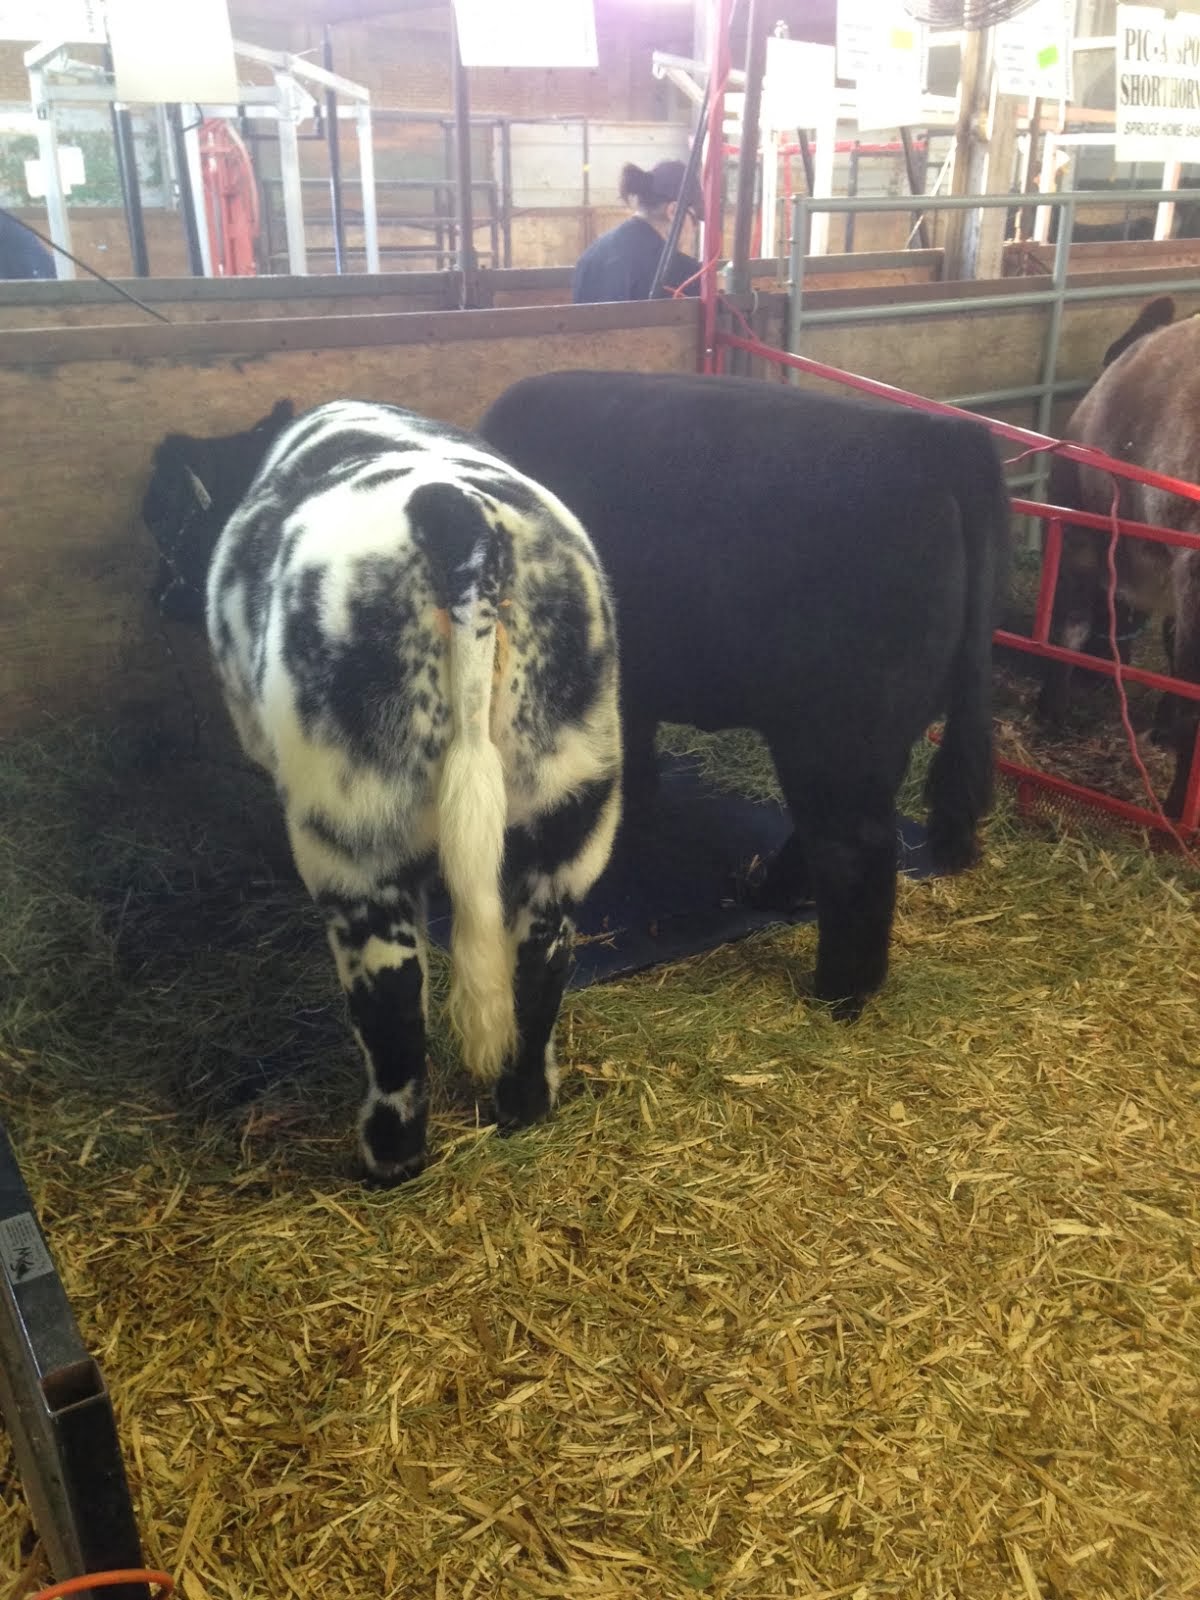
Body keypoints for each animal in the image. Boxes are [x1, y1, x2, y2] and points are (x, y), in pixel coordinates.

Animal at [141, 398, 622, 1184]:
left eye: (162, 513)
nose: (158, 596)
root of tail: (454, 516)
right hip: (572, 801)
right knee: (540, 959)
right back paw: (523, 1106)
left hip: (355, 834)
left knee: (393, 1000)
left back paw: (388, 1158)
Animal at [478, 370, 1011, 1020]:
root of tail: (941, 438)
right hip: (873, 734)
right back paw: (771, 895)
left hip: (834, 731)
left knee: (855, 849)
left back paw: (839, 993)